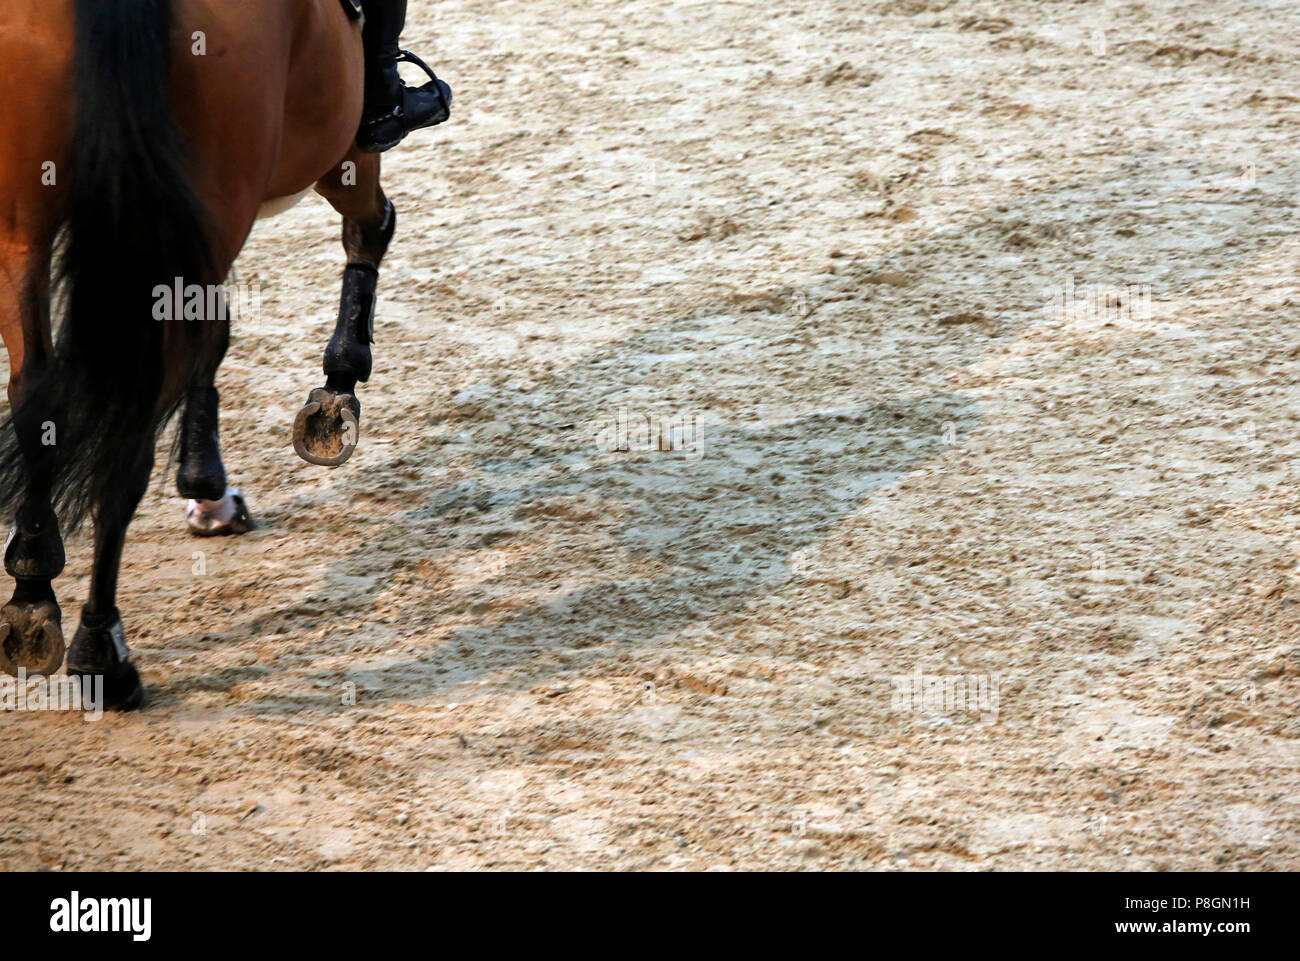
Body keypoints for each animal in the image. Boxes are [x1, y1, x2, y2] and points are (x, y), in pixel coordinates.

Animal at [0, 0, 428, 709]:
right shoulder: (342, 149)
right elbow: (369, 227)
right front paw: (335, 393)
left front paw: (206, 483)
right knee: (131, 423)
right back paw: (103, 652)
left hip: (23, 227)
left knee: (37, 391)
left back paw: (32, 591)